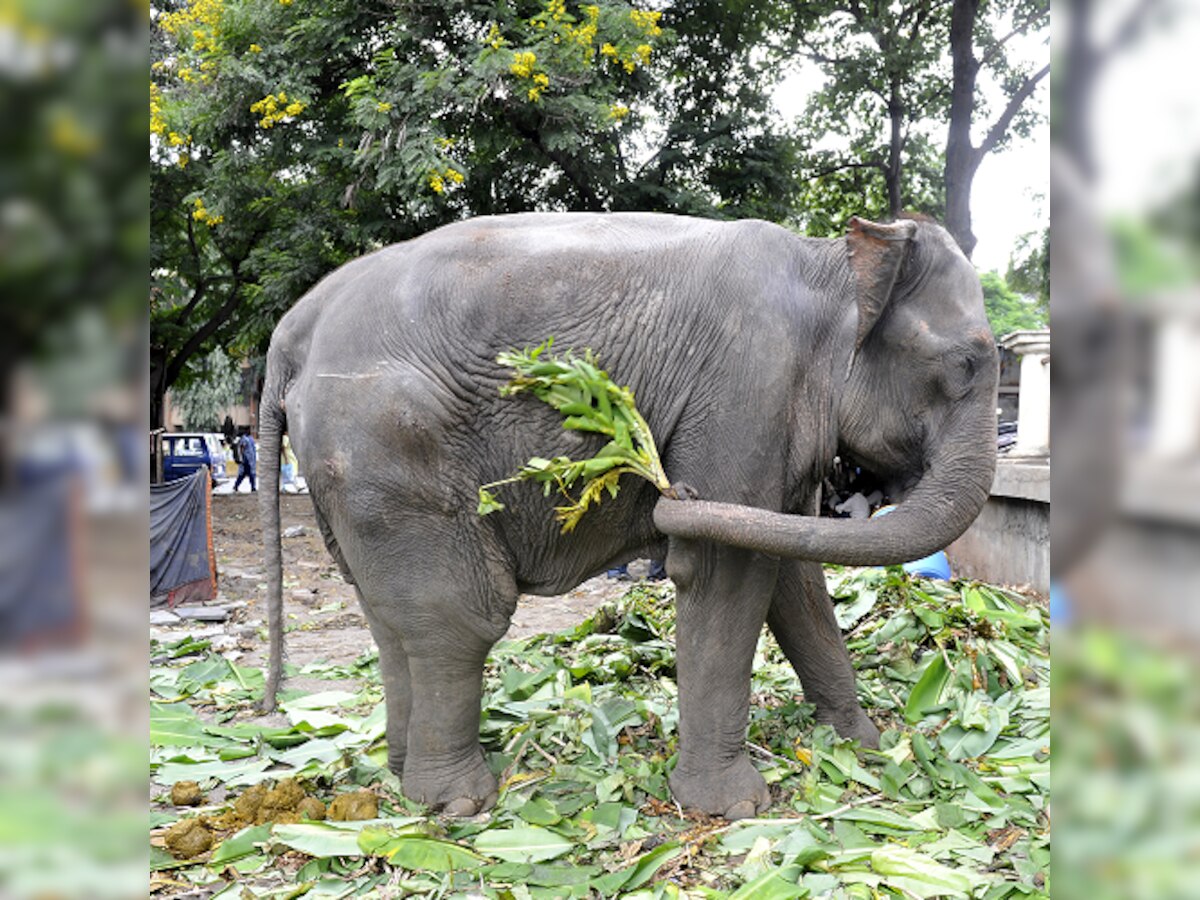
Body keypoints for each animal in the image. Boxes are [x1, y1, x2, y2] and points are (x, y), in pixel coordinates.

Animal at [258, 211, 998, 819]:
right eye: (965, 364)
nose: (670, 491)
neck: (829, 259)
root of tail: (293, 329)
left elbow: (790, 574)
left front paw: (867, 748)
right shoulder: (748, 388)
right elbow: (727, 576)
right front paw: (734, 809)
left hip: (353, 484)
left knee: (391, 618)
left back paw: (404, 778)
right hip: (388, 450)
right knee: (460, 617)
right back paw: (457, 803)